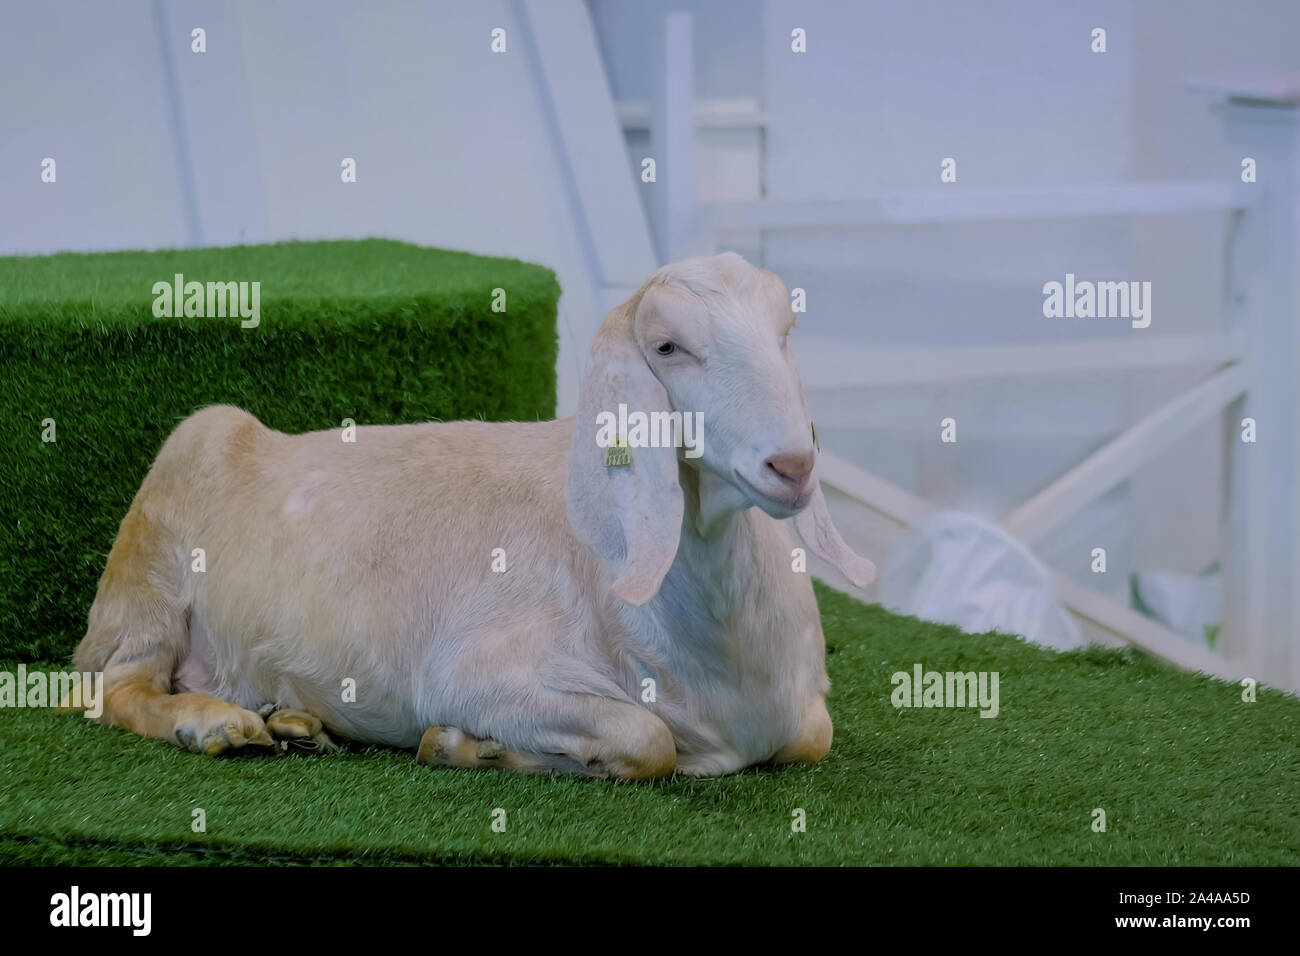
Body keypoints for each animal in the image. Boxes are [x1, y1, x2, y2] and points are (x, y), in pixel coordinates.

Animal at [72, 252, 875, 778]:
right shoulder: (473, 671)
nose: (792, 465)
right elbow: (650, 742)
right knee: (119, 687)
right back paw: (214, 725)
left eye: (785, 332)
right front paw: (469, 746)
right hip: (150, 571)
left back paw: (291, 721)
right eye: (668, 346)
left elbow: (815, 737)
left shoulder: (806, 713)